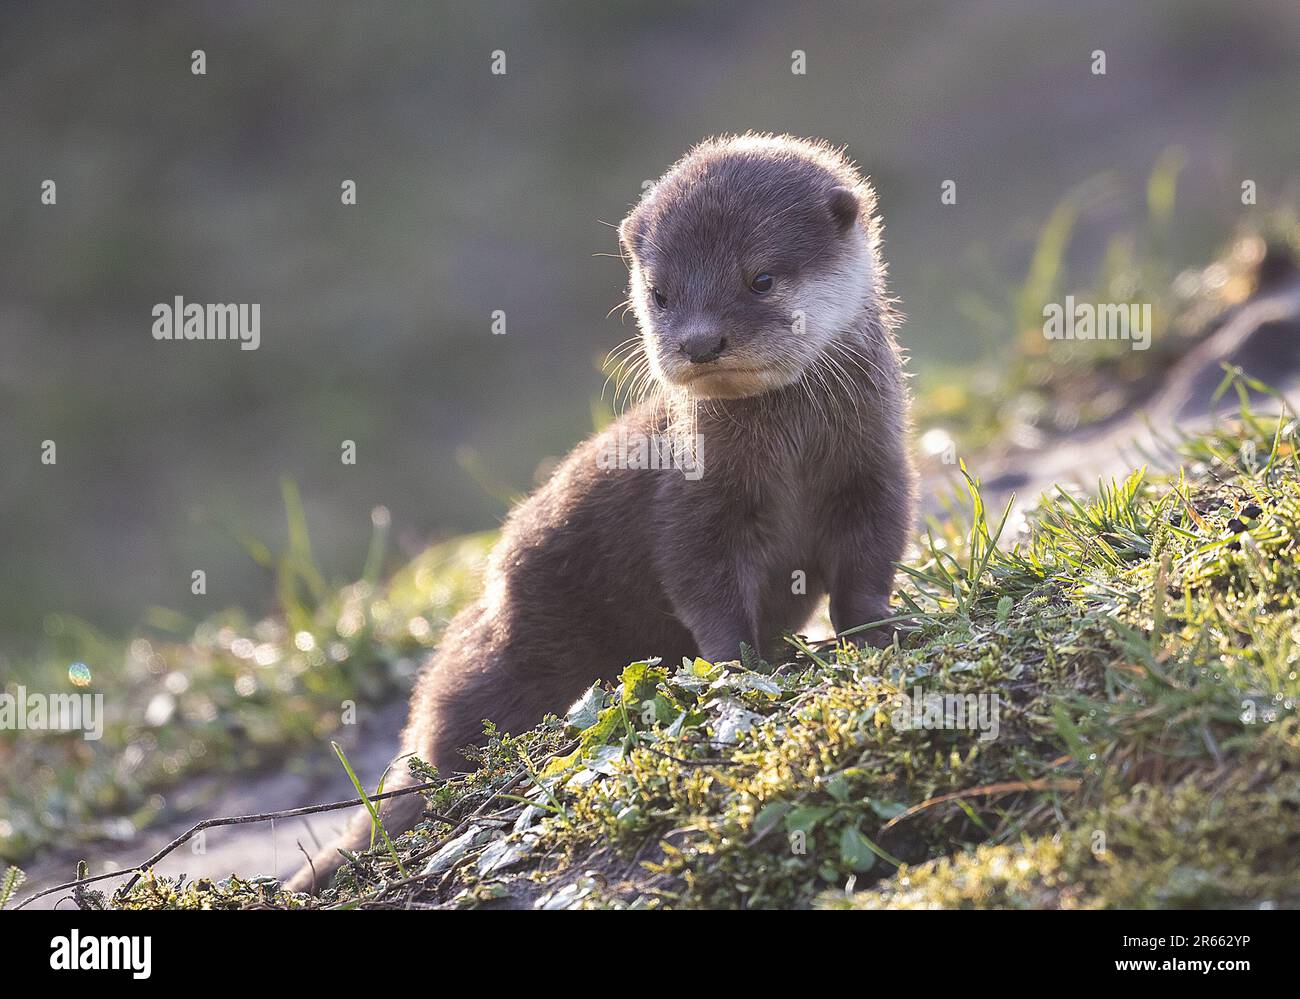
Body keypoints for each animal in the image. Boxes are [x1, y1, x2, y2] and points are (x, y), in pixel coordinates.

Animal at [286, 133, 915, 893]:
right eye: (661, 293)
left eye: (761, 279)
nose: (700, 342)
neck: (791, 457)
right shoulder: (693, 503)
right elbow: (703, 588)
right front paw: (741, 668)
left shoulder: (874, 473)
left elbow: (868, 565)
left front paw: (881, 630)